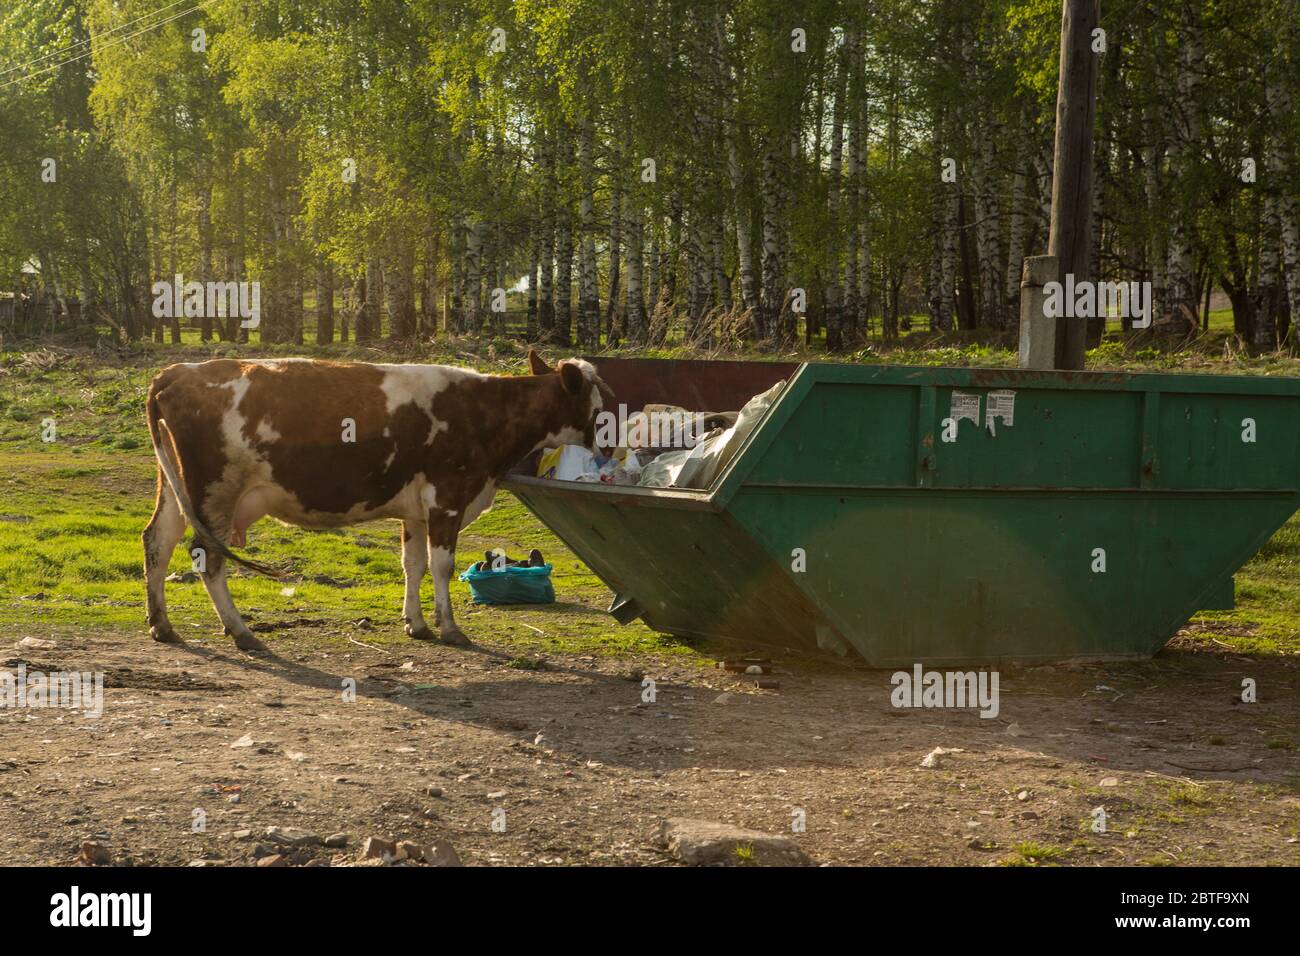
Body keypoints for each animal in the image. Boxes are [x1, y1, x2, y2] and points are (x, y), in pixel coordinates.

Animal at [142, 349, 607, 654]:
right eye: (600, 409)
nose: (610, 445)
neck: (486, 412)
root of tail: (180, 371)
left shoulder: (416, 511)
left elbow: (413, 564)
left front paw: (416, 624)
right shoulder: (447, 498)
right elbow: (442, 566)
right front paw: (449, 628)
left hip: (178, 490)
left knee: (157, 542)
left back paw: (162, 626)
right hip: (216, 491)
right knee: (207, 558)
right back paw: (240, 631)